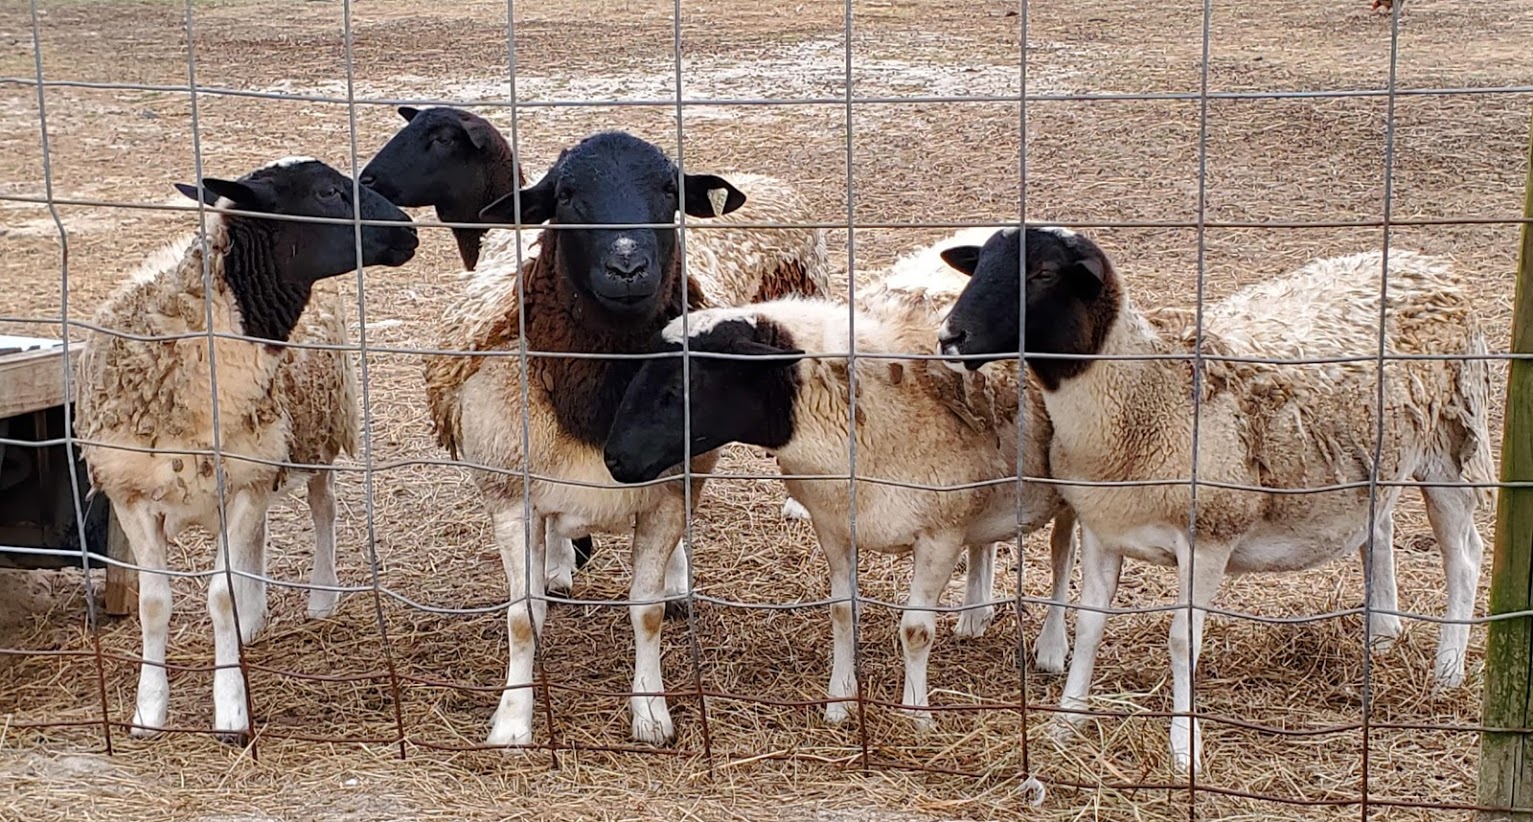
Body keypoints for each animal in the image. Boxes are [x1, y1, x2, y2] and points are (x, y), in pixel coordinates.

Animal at [73, 157, 420, 742]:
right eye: (327, 192)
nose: (410, 231)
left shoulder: (247, 481)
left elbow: (220, 595)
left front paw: (231, 710)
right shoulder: (134, 493)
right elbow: (154, 603)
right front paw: (148, 712)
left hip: (315, 429)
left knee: (322, 507)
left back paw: (321, 597)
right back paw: (252, 621)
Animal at [422, 129, 759, 748]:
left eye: (668, 190)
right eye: (566, 195)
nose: (627, 266)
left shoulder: (668, 495)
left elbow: (646, 610)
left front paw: (650, 713)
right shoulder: (512, 497)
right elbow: (522, 616)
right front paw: (513, 720)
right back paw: (557, 570)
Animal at [601, 226, 1080, 730]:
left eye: (681, 386)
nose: (615, 458)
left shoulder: (940, 533)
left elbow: (916, 629)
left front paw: (916, 714)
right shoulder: (835, 524)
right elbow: (842, 613)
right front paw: (841, 700)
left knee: (1062, 555)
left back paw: (1051, 647)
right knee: (986, 542)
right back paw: (975, 614)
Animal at [935, 226, 1494, 775]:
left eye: (1044, 273)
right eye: (980, 265)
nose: (950, 338)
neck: (1145, 394)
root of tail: (1427, 265)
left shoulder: (1207, 539)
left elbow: (1184, 641)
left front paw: (1184, 750)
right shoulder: (1104, 527)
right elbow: (1090, 624)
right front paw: (1065, 724)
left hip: (1448, 446)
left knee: (1464, 554)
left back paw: (1447, 670)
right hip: (1374, 462)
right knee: (1378, 527)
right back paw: (1381, 635)